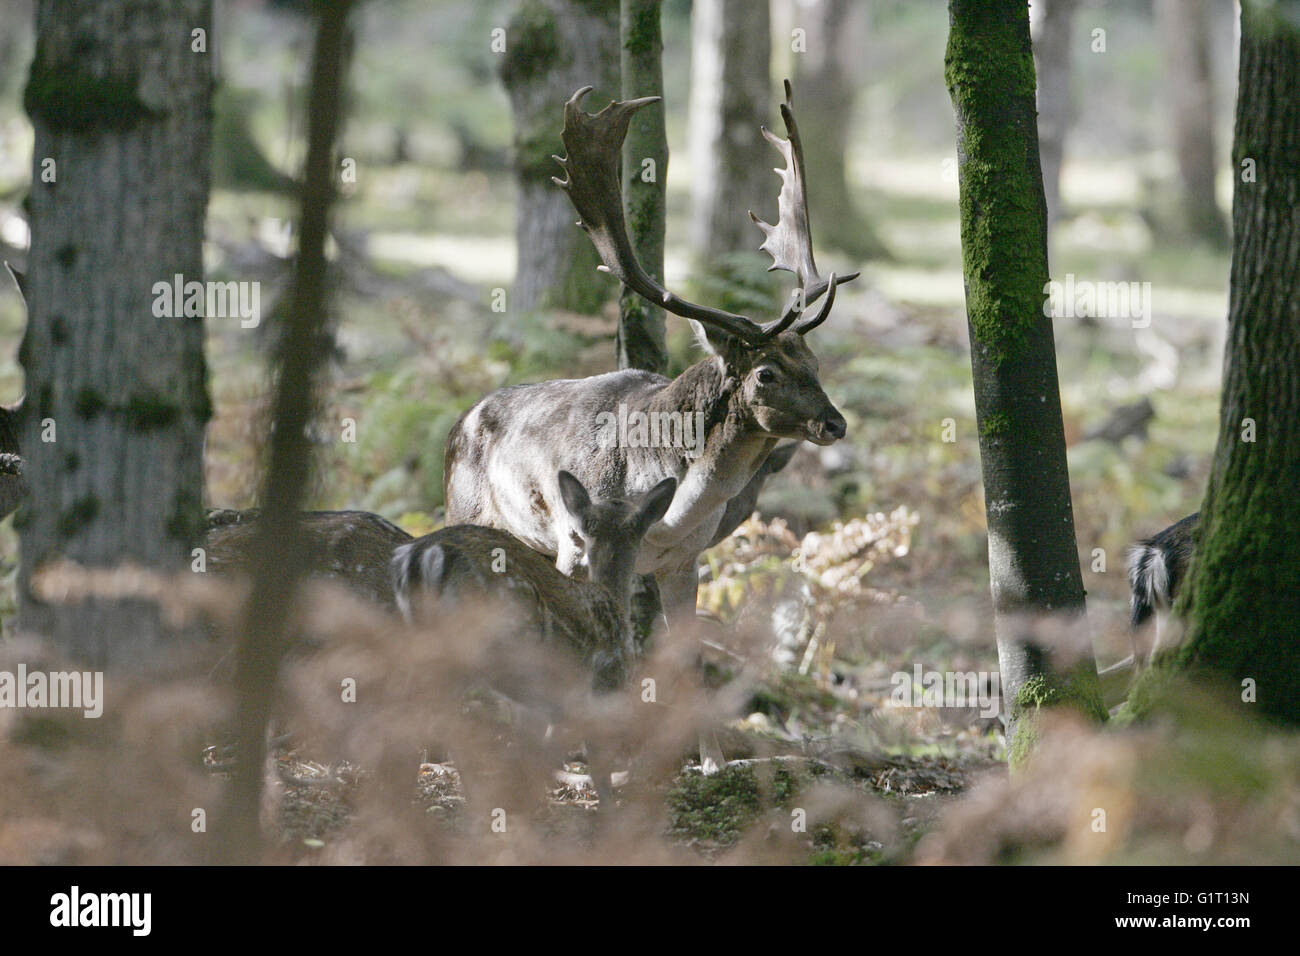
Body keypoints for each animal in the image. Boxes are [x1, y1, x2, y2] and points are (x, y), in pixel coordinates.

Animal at [443, 83, 856, 769]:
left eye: (816, 363)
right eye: (766, 373)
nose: (835, 423)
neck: (675, 501)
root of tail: (458, 427)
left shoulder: (684, 560)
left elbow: (689, 661)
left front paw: (711, 761)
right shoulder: (575, 539)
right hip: (473, 514)